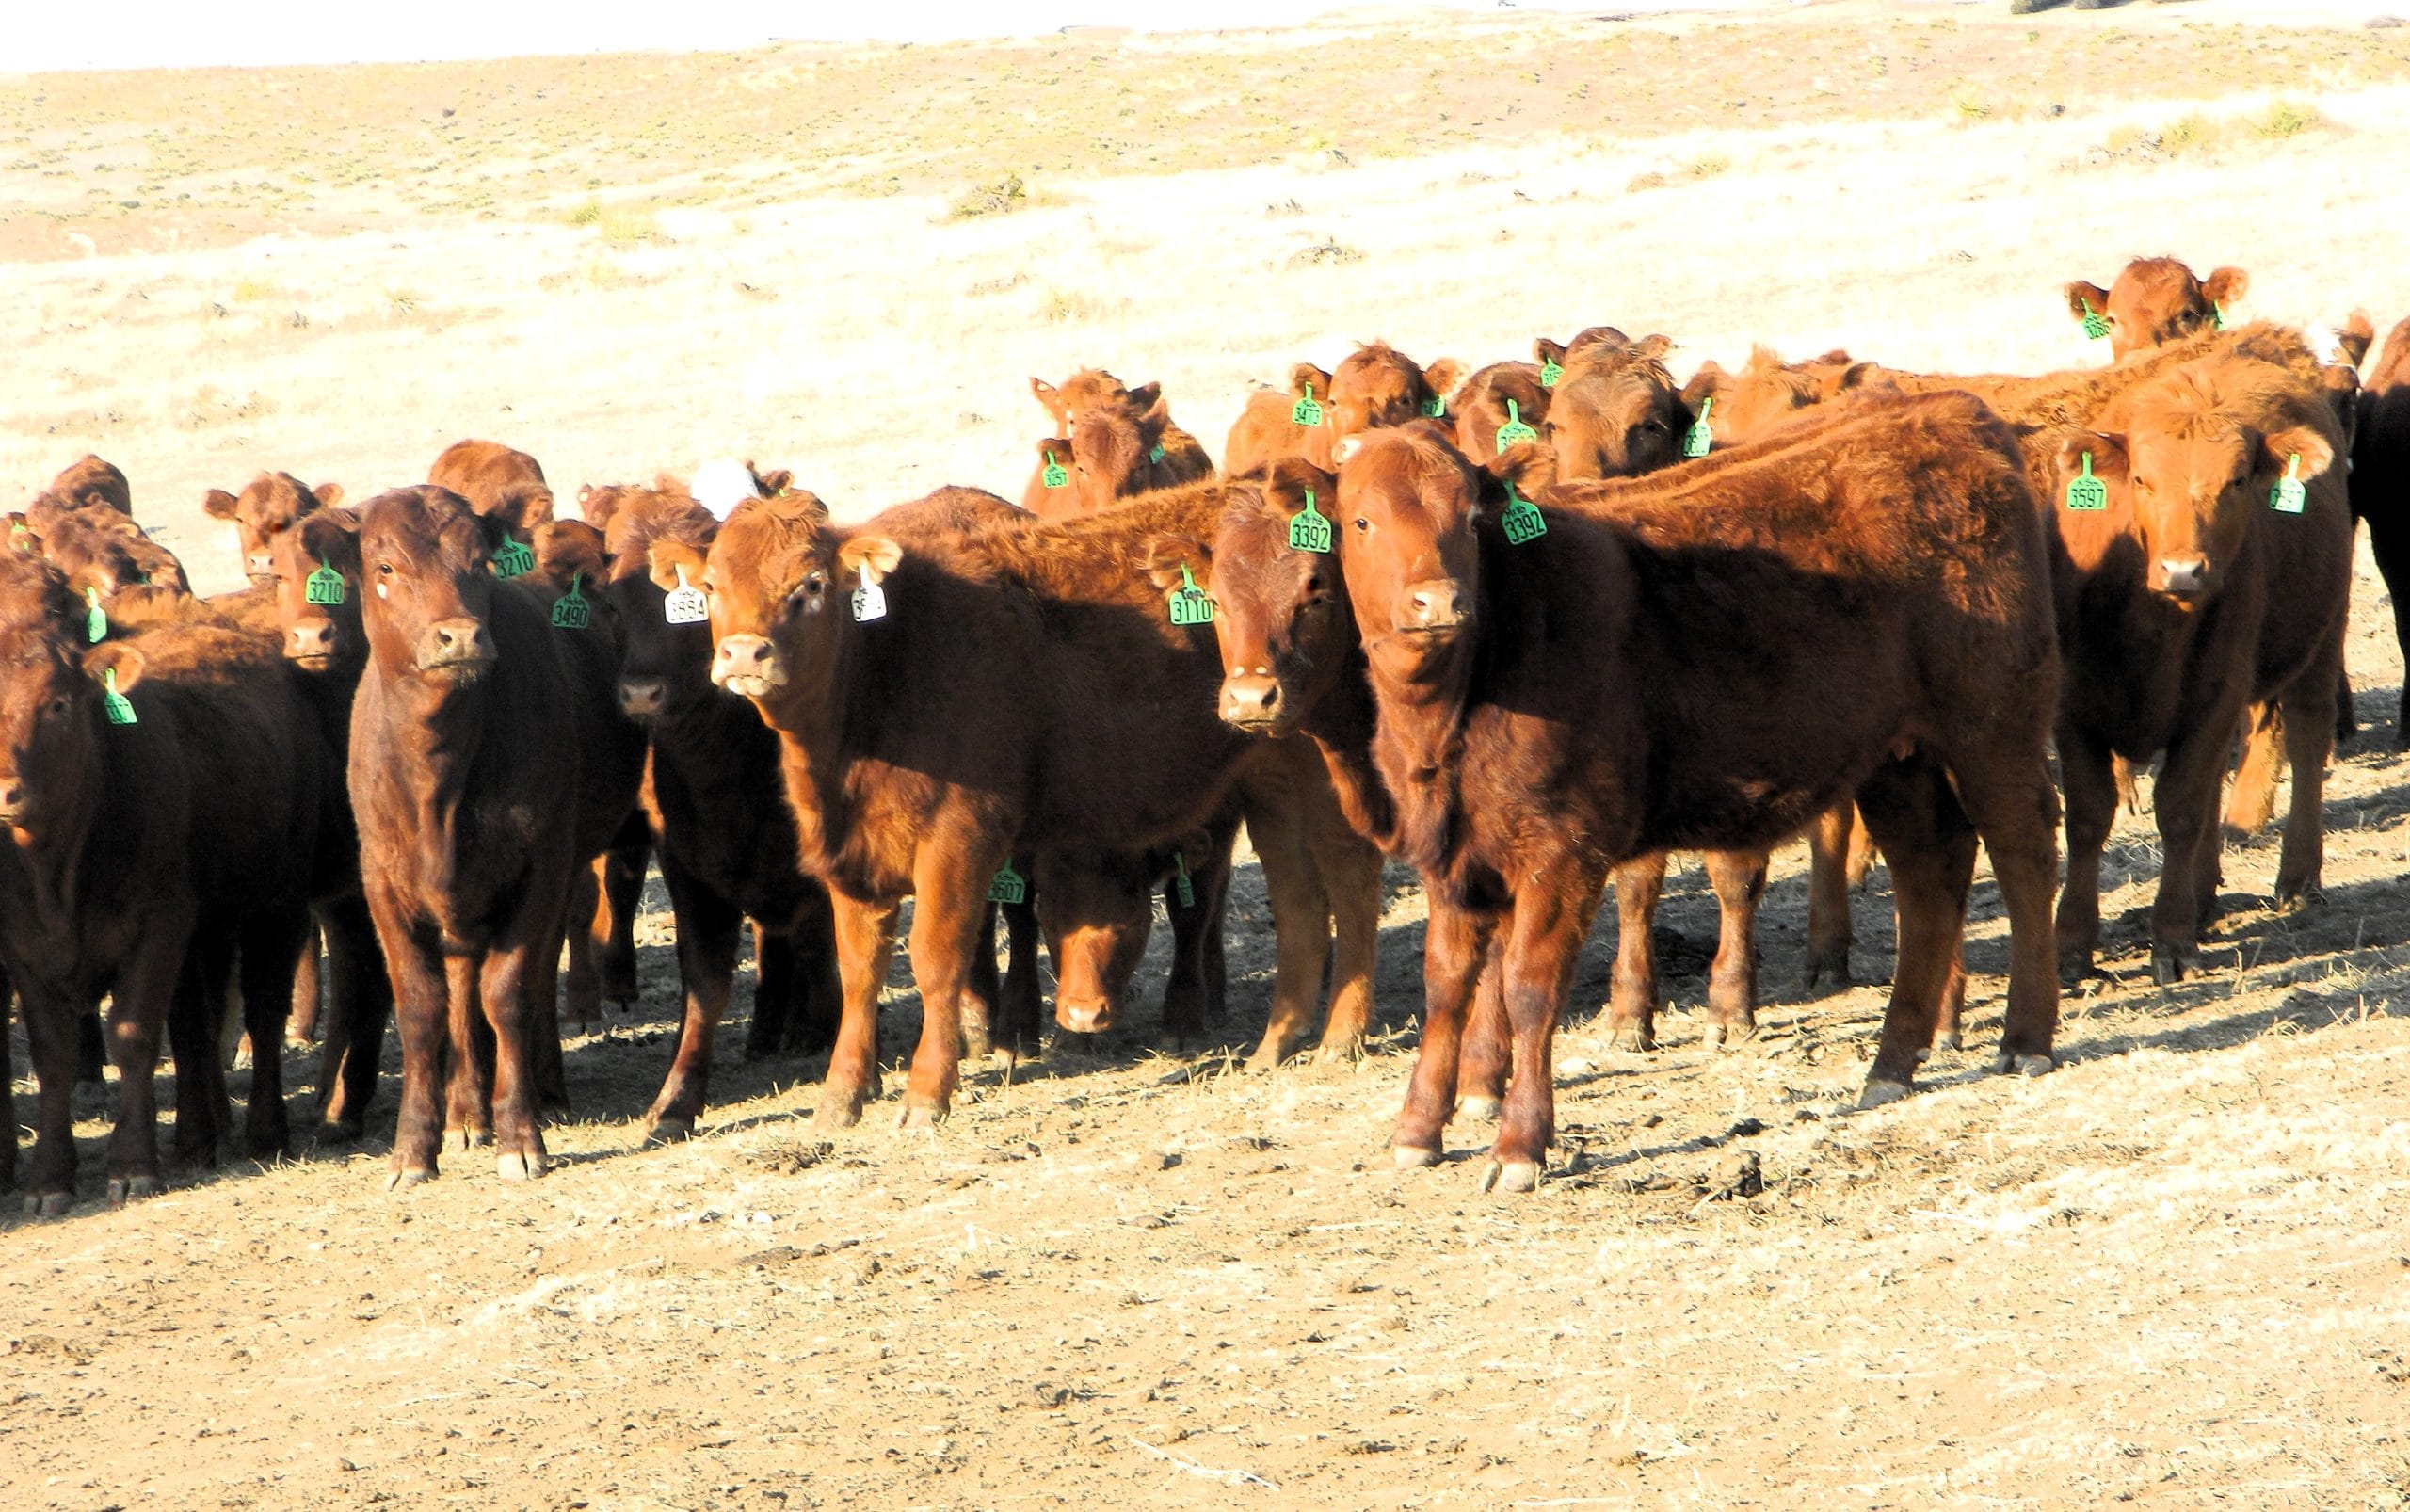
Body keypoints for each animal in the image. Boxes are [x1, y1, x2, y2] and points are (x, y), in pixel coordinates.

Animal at [0, 556, 325, 1213]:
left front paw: (133, 1167)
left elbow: (133, 1037)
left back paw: (264, 1130)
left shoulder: (157, 928)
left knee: (263, 1014)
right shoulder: (24, 949)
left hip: (274, 907)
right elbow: (54, 1056)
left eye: (59, 705)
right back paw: (200, 1135)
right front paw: (49, 1179)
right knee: (198, 1027)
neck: (58, 873)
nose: (6, 790)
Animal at [346, 485, 639, 1185]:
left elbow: (508, 995)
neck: (440, 776)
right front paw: (414, 1149)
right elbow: (422, 1007)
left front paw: (521, 1138)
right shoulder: (383, 884)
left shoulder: (540, 869)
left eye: (479, 563)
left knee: (530, 979)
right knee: (458, 987)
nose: (459, 635)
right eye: (385, 566)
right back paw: (465, 1114)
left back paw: (542, 1089)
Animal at [598, 490, 846, 1141]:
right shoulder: (687, 867)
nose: (641, 693)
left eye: (684, 608)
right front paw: (675, 1100)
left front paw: (829, 1032)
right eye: (612, 605)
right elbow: (705, 983)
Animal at [1320, 399, 2062, 1192]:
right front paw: (1417, 1130)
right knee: (1929, 876)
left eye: (1467, 518)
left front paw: (1520, 1146)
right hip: (1900, 759)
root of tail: (1951, 412)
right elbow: (1448, 985)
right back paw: (1891, 1063)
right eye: (1361, 521)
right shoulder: (1451, 854)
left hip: (1995, 726)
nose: (1439, 602)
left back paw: (2026, 1038)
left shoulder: (1563, 851)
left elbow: (1529, 989)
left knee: (2023, 853)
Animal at [2047, 352, 2351, 983]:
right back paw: (2205, 892)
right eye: (2142, 479)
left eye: (2235, 482)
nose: (2184, 570)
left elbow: (2182, 809)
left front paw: (2172, 938)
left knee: (2308, 735)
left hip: (2322, 632)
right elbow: (2088, 817)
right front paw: (2072, 945)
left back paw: (2296, 878)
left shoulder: (2215, 693)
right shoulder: (2075, 710)